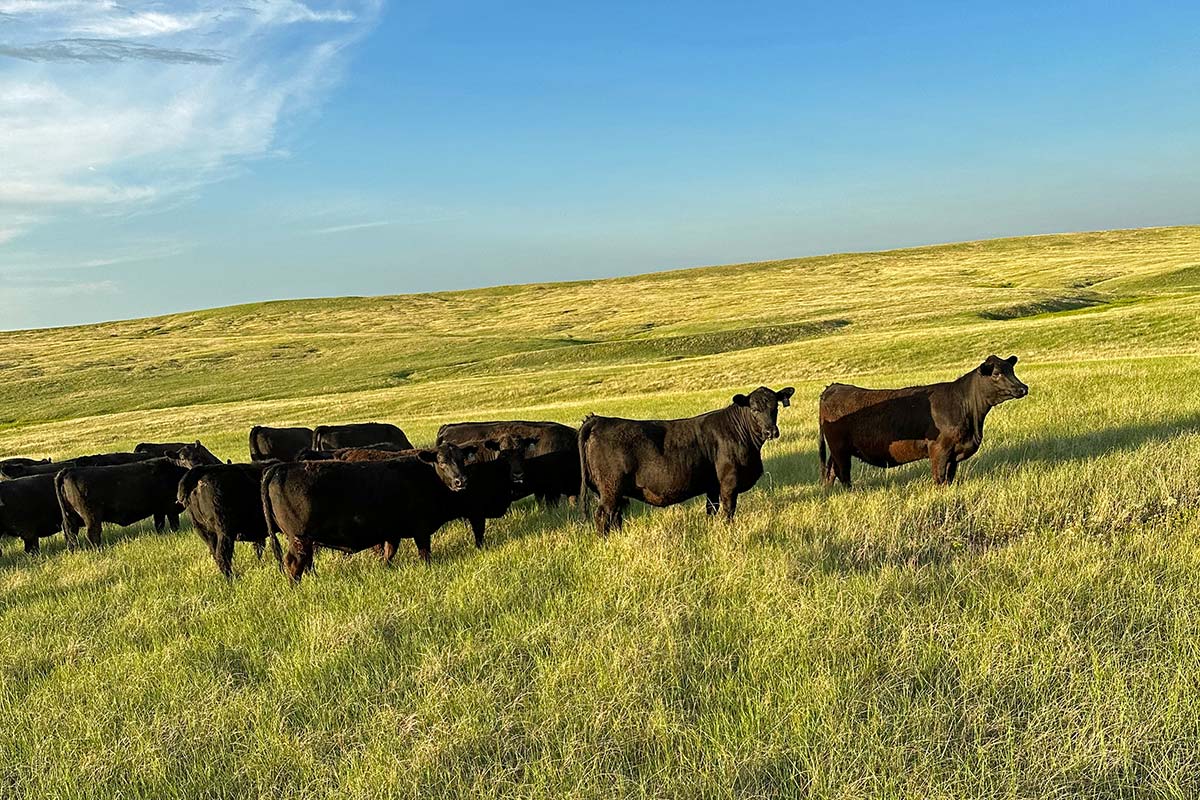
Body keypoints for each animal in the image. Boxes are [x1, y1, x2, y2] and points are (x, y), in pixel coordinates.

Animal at [261, 447, 474, 582]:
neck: (427, 474)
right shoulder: (421, 530)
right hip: (299, 539)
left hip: (306, 540)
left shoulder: (392, 532)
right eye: (442, 461)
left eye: (462, 460)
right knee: (294, 564)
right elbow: (424, 554)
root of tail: (281, 467)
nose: (461, 480)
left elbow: (388, 554)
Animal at [578, 386, 795, 535]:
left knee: (614, 515)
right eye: (754, 409)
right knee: (603, 515)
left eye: (775, 407)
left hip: (612, 491)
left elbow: (712, 509)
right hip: (610, 488)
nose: (771, 431)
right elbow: (728, 510)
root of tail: (599, 420)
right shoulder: (729, 482)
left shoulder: (712, 486)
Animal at [818, 355, 1029, 487]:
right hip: (839, 449)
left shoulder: (954, 455)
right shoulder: (939, 450)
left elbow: (949, 479)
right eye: (996, 374)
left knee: (830, 472)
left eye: (1011, 370)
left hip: (838, 450)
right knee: (843, 474)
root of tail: (833, 387)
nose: (1023, 388)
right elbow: (939, 478)